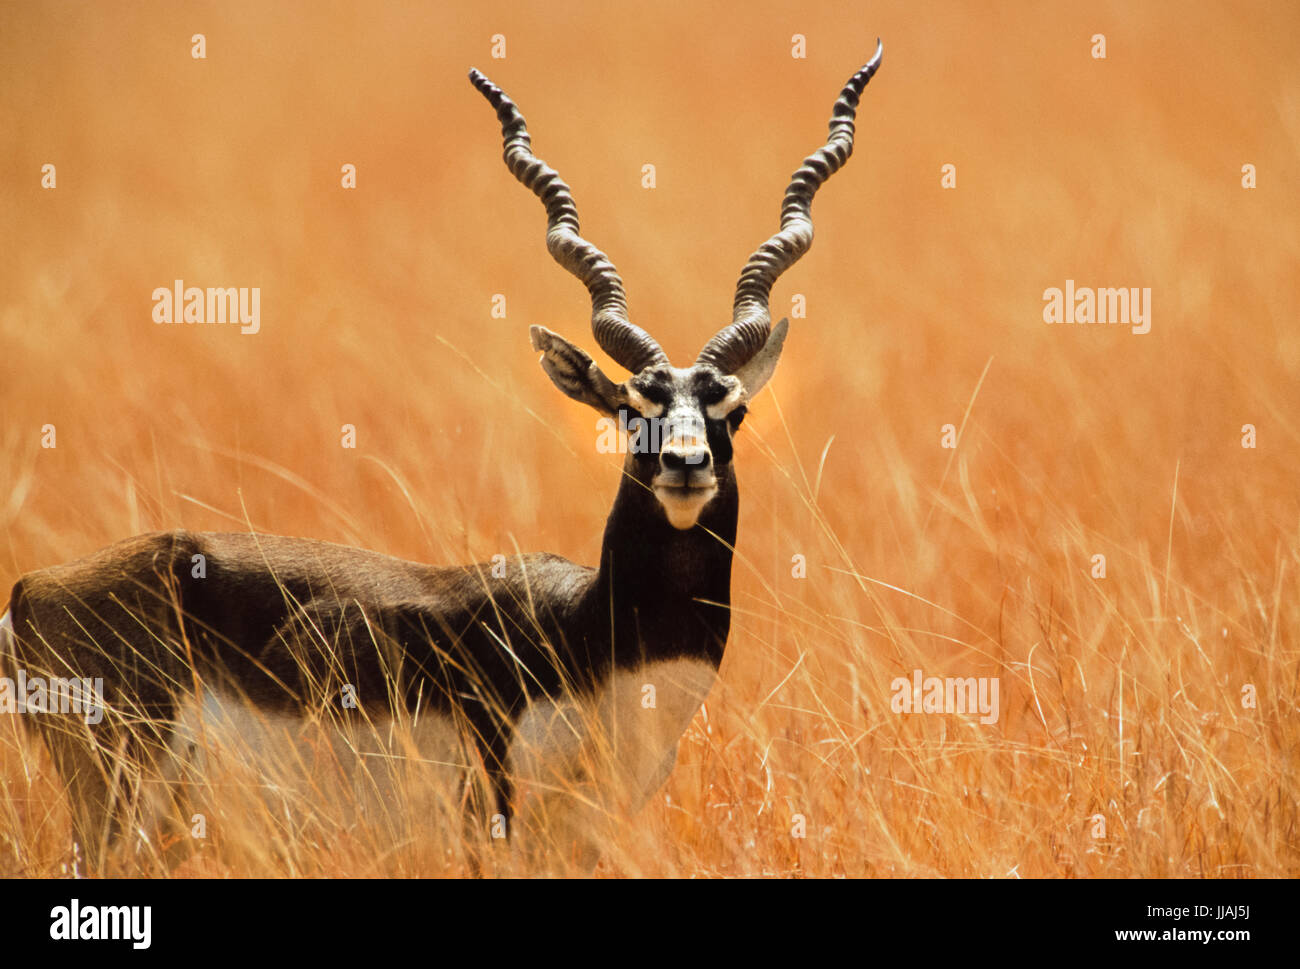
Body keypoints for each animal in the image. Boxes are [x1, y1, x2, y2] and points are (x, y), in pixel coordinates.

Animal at [1, 41, 883, 872]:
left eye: (732, 407)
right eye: (632, 408)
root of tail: (31, 590)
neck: (588, 634)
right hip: (119, 796)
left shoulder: (584, 836)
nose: (687, 465)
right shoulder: (495, 814)